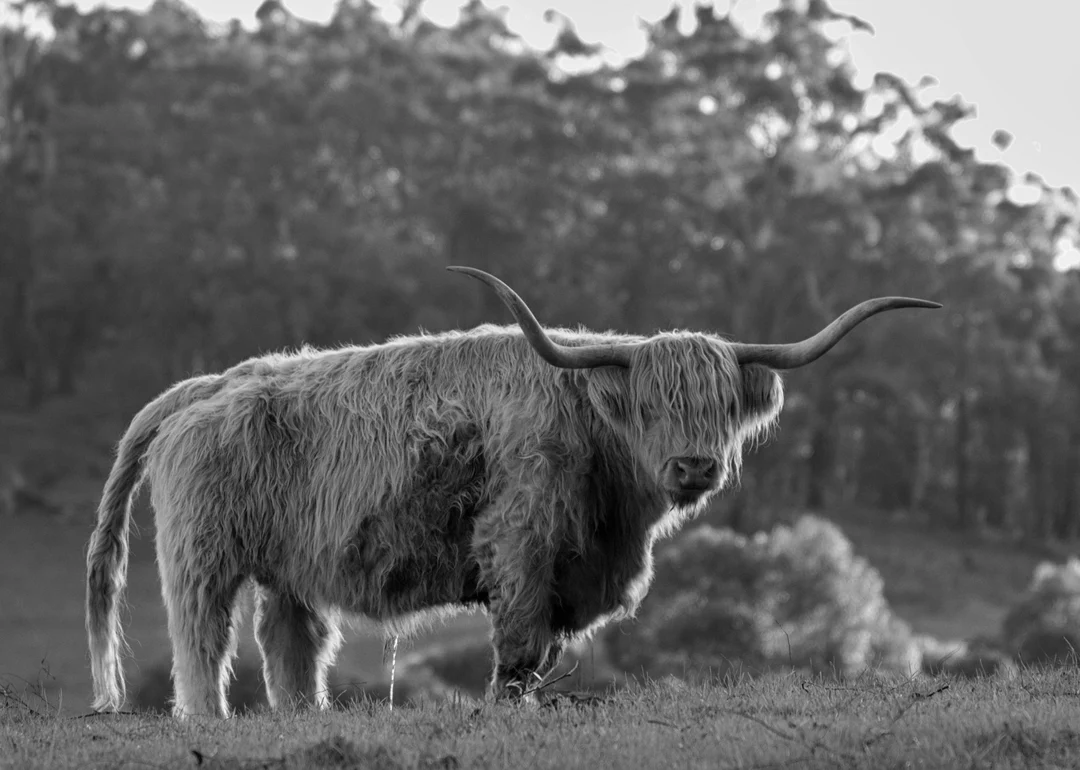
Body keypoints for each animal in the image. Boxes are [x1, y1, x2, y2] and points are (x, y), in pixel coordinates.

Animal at [85, 266, 940, 718]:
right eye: (654, 405)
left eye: (722, 405)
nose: (695, 467)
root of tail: (213, 384)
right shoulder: (522, 544)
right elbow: (521, 644)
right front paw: (507, 710)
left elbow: (546, 648)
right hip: (201, 555)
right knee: (202, 641)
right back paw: (211, 718)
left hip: (291, 564)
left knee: (291, 641)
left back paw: (303, 715)